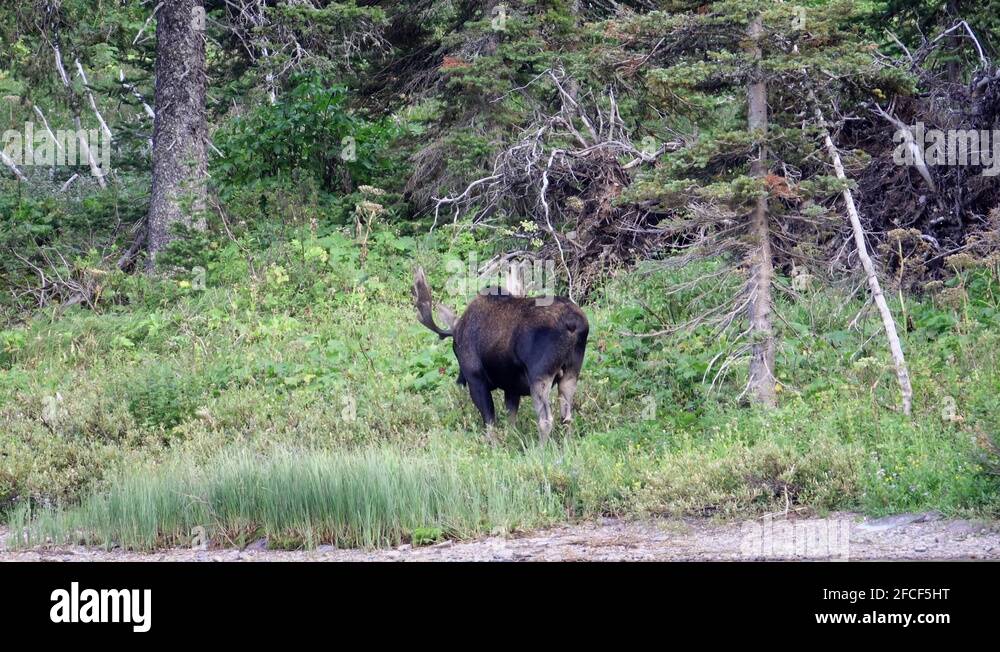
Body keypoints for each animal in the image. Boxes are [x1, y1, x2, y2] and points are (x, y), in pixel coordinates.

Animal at [412, 264, 588, 444]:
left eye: (455, 350)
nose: (459, 381)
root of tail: (573, 324)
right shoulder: (511, 387)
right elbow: (510, 420)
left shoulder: (476, 379)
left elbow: (489, 421)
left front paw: (493, 445)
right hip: (571, 372)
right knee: (567, 417)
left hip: (539, 375)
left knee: (546, 419)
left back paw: (540, 448)